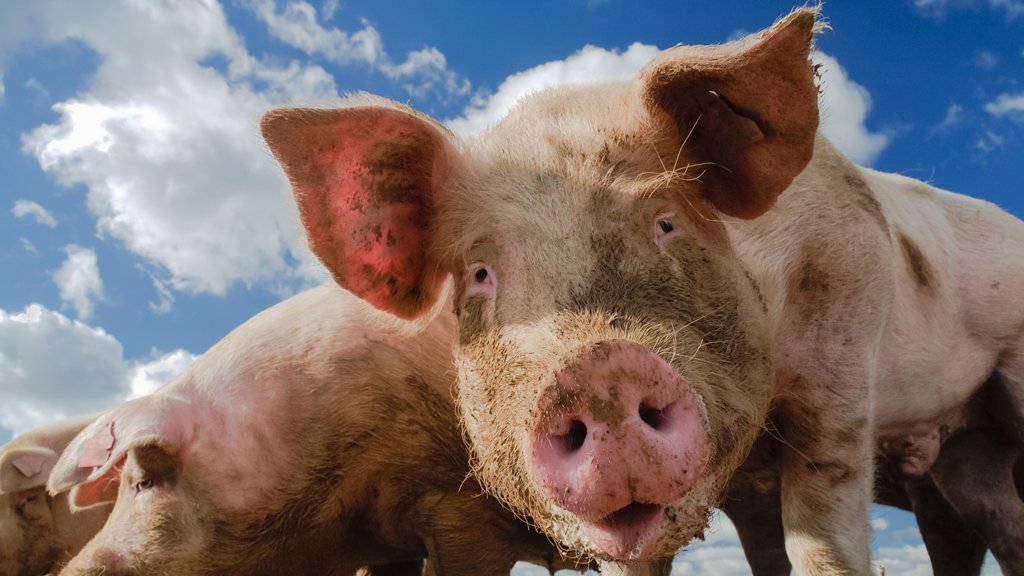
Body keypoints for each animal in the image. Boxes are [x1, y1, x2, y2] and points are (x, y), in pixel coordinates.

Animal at [260, 7, 1024, 575]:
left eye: (666, 223)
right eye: (479, 273)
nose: (598, 368)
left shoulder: (845, 316)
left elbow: (824, 529)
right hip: (968, 451)